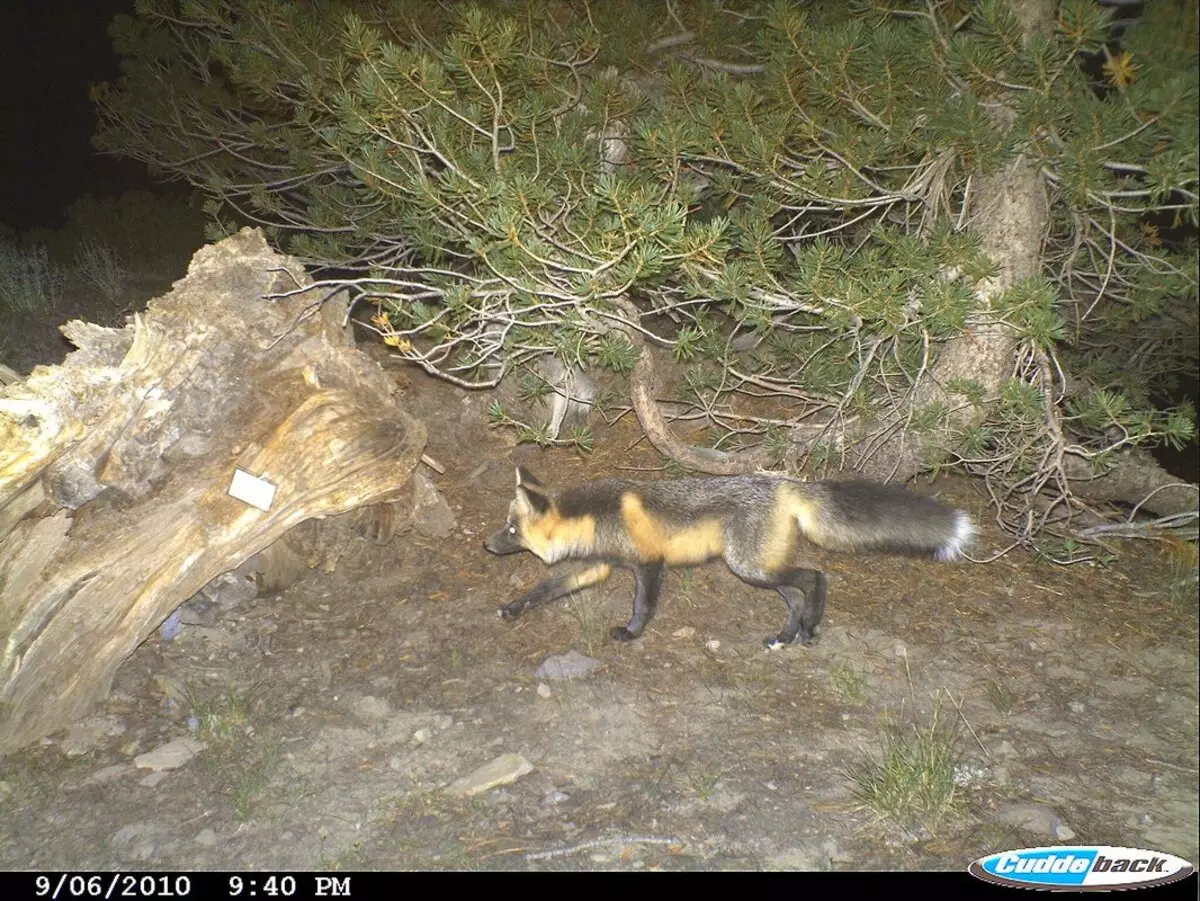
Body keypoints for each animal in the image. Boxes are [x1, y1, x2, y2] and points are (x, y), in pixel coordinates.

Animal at [482, 465, 969, 647]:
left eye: (510, 529)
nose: (487, 545)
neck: (595, 515)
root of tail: (784, 482)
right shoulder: (596, 565)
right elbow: (545, 588)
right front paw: (512, 608)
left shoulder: (649, 564)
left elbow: (643, 605)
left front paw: (632, 633)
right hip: (759, 569)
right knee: (796, 592)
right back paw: (786, 635)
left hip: (748, 567)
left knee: (815, 578)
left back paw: (809, 629)